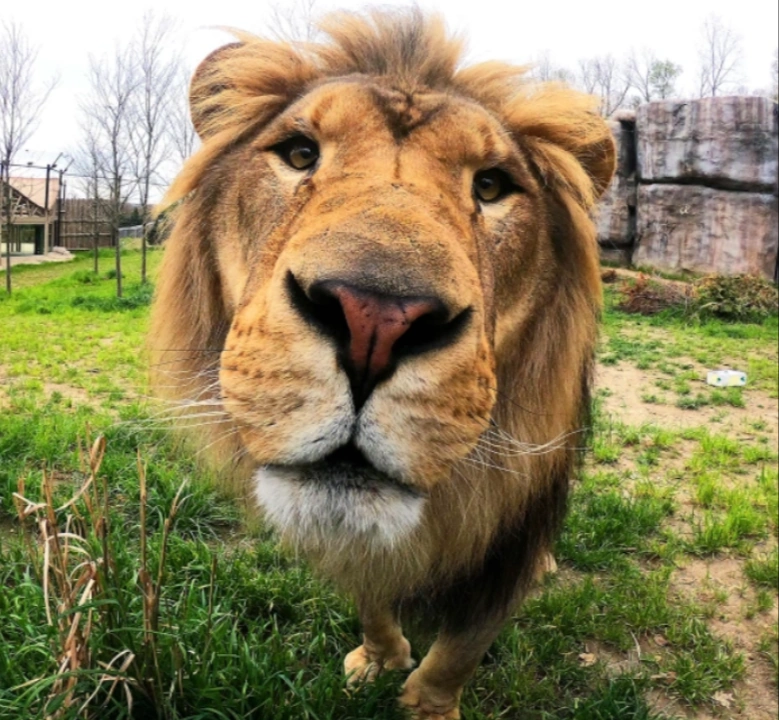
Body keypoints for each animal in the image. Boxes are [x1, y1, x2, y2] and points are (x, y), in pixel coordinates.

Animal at [149, 9, 615, 719]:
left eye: (491, 185)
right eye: (300, 154)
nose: (375, 320)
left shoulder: (507, 543)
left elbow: (460, 649)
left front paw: (426, 705)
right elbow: (370, 595)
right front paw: (378, 659)